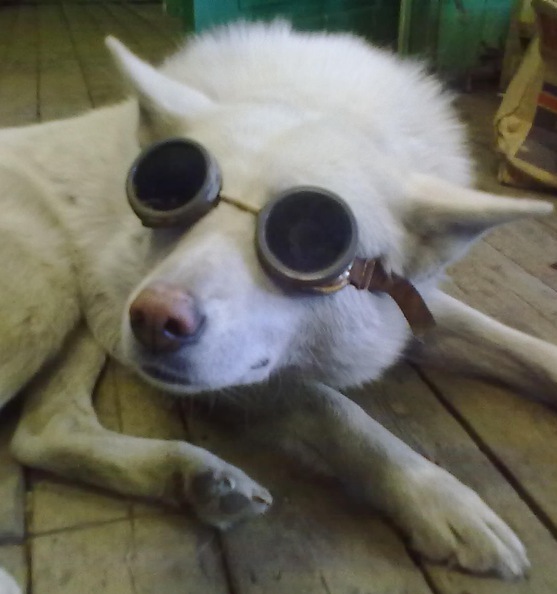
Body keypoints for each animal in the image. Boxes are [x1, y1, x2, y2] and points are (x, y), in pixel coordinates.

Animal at [0, 22, 556, 591]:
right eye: (168, 195)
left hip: (76, 319)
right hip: (44, 294)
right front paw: (440, 498)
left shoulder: (404, 308)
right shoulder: (234, 374)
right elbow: (335, 410)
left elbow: (515, 344)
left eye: (308, 239)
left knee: (43, 433)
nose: (154, 320)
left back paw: (196, 480)